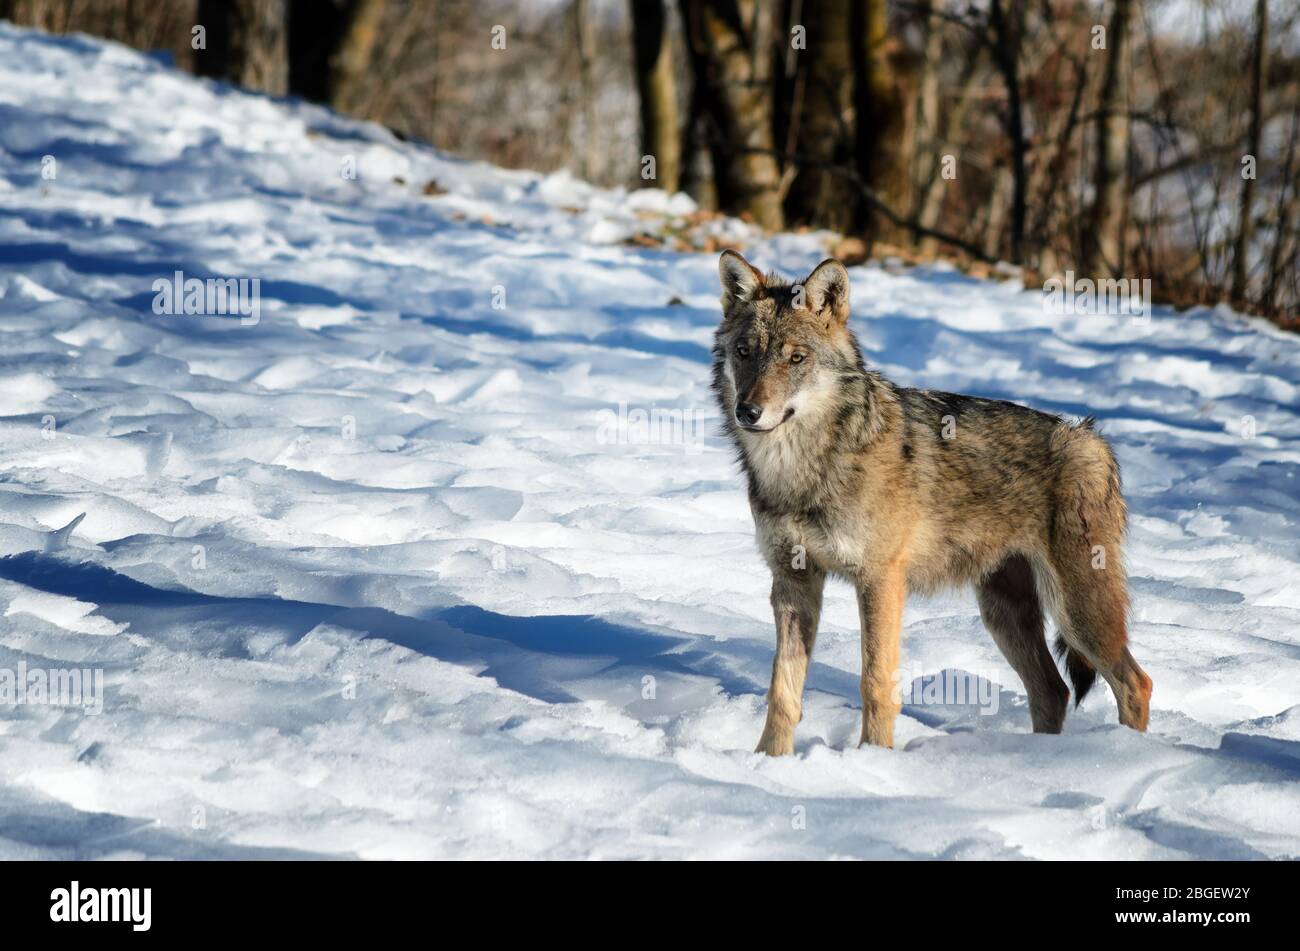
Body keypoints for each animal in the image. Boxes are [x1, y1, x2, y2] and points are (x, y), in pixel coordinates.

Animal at [711, 250, 1152, 755]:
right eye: (745, 352)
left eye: (796, 358)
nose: (748, 411)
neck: (803, 470)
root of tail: (1091, 438)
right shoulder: (792, 581)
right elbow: (783, 690)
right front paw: (769, 761)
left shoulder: (880, 580)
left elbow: (875, 683)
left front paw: (873, 758)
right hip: (1004, 614)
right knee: (1053, 690)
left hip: (1077, 610)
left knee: (1134, 683)